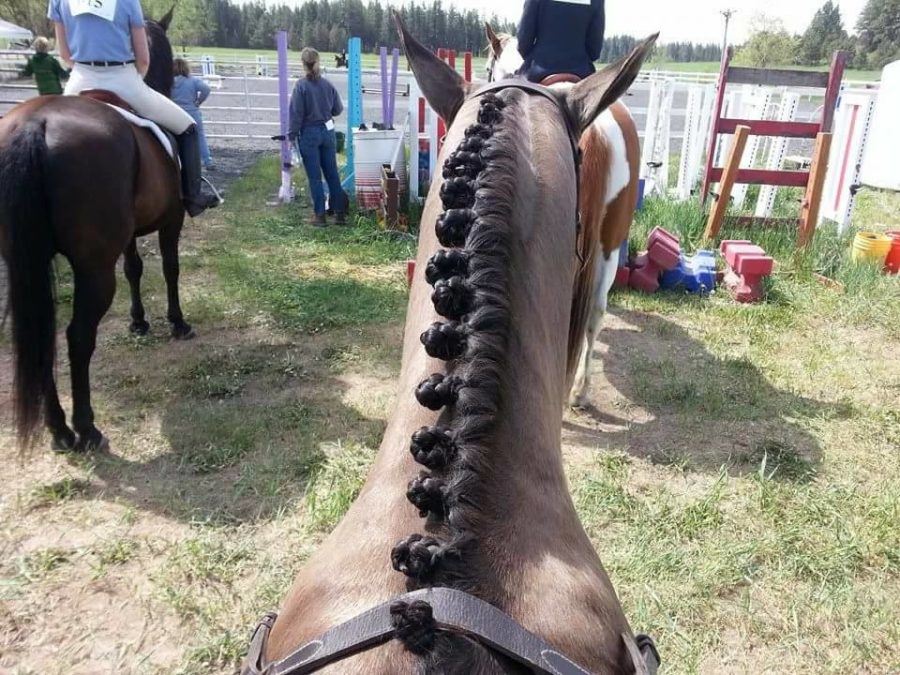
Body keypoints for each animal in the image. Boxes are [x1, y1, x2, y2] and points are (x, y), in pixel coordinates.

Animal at [0, 9, 191, 453]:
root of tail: (35, 124)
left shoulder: (129, 234)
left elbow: (136, 269)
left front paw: (139, 322)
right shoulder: (171, 219)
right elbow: (169, 268)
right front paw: (177, 323)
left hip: (30, 263)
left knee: (42, 336)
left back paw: (58, 429)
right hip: (93, 268)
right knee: (77, 336)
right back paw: (86, 429)